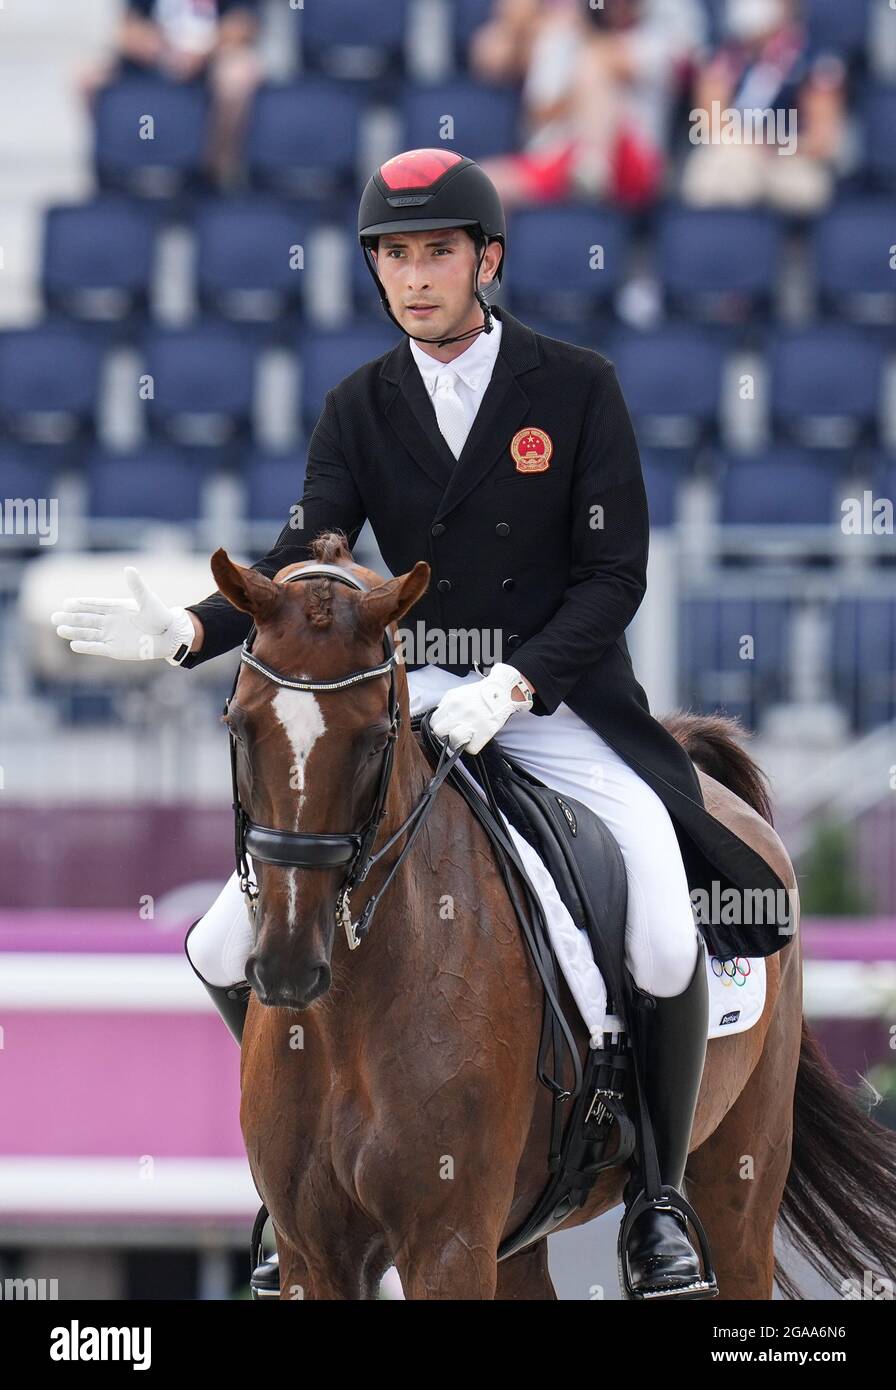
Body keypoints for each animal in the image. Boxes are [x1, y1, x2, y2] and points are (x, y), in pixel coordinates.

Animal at [213, 532, 896, 1300]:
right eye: (239, 727)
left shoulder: (448, 1245)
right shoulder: (315, 1254)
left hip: (740, 1180)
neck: (349, 1014)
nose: (288, 964)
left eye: (373, 738)